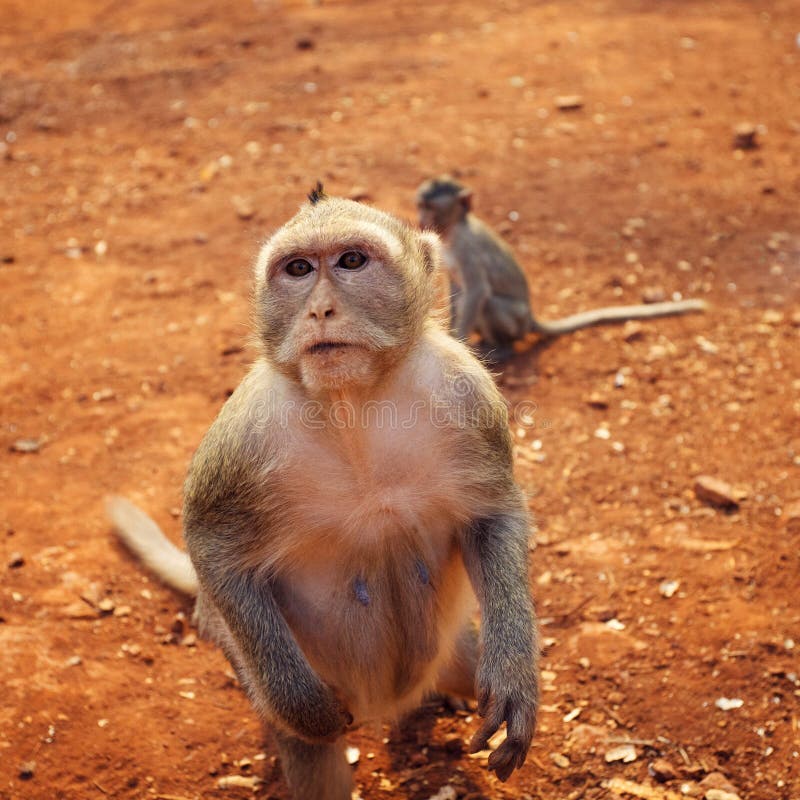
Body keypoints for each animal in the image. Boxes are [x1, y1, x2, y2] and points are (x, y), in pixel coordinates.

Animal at [107, 184, 539, 799]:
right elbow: (214, 552)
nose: (320, 310)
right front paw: (303, 706)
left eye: (351, 261)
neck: (353, 401)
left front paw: (513, 682)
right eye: (298, 269)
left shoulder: (467, 393)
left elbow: (492, 515)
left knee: (458, 662)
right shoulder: (244, 437)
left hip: (450, 653)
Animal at [416, 175, 707, 360]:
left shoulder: (468, 250)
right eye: (420, 205)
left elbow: (477, 291)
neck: (453, 231)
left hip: (517, 320)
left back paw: (504, 349)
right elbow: (456, 290)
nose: (420, 219)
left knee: (490, 304)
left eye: (429, 207)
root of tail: (531, 318)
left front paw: (459, 340)